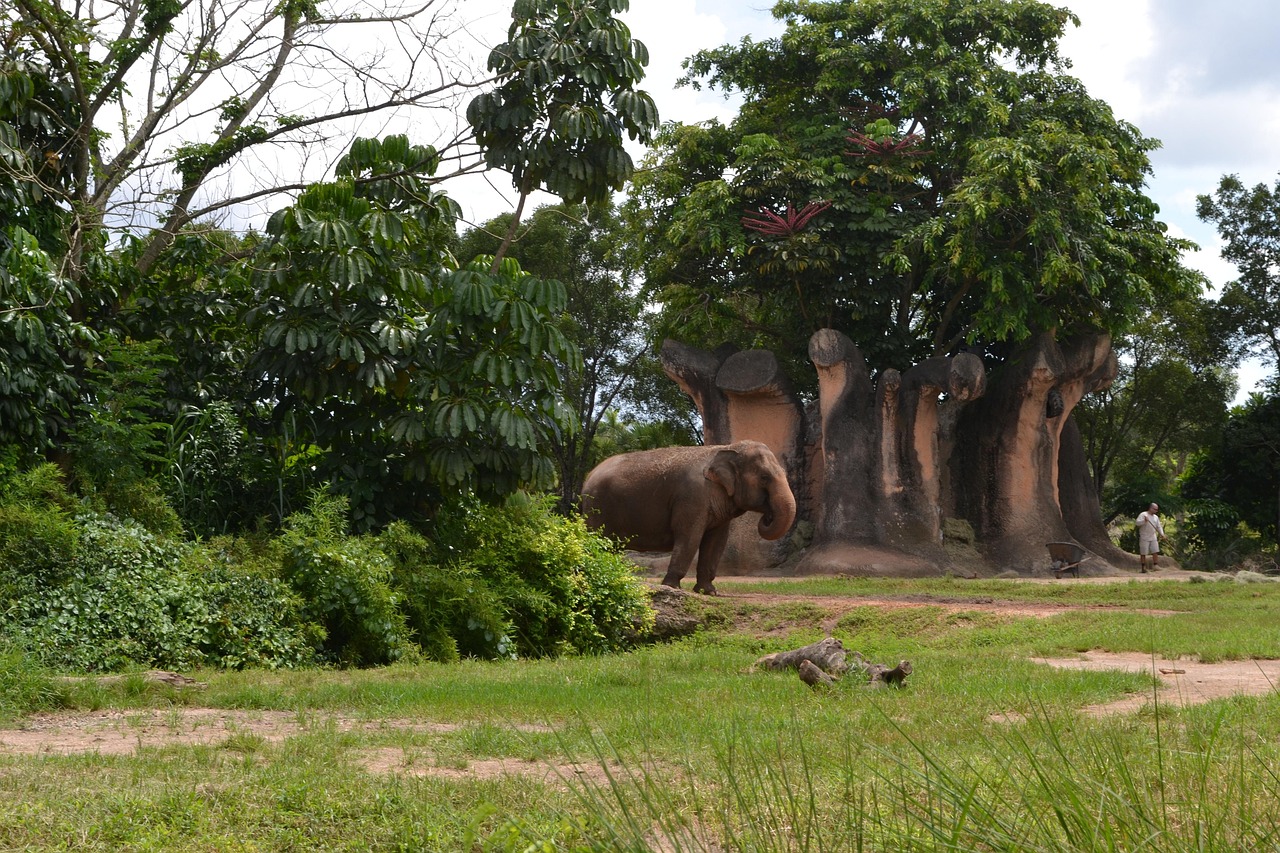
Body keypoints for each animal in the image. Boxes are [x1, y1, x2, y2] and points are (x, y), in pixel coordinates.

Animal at [580, 440, 797, 594]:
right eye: (764, 478)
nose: (767, 517)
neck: (727, 448)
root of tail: (588, 477)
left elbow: (716, 541)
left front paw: (709, 592)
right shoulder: (692, 497)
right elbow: (689, 536)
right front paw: (671, 587)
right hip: (597, 508)